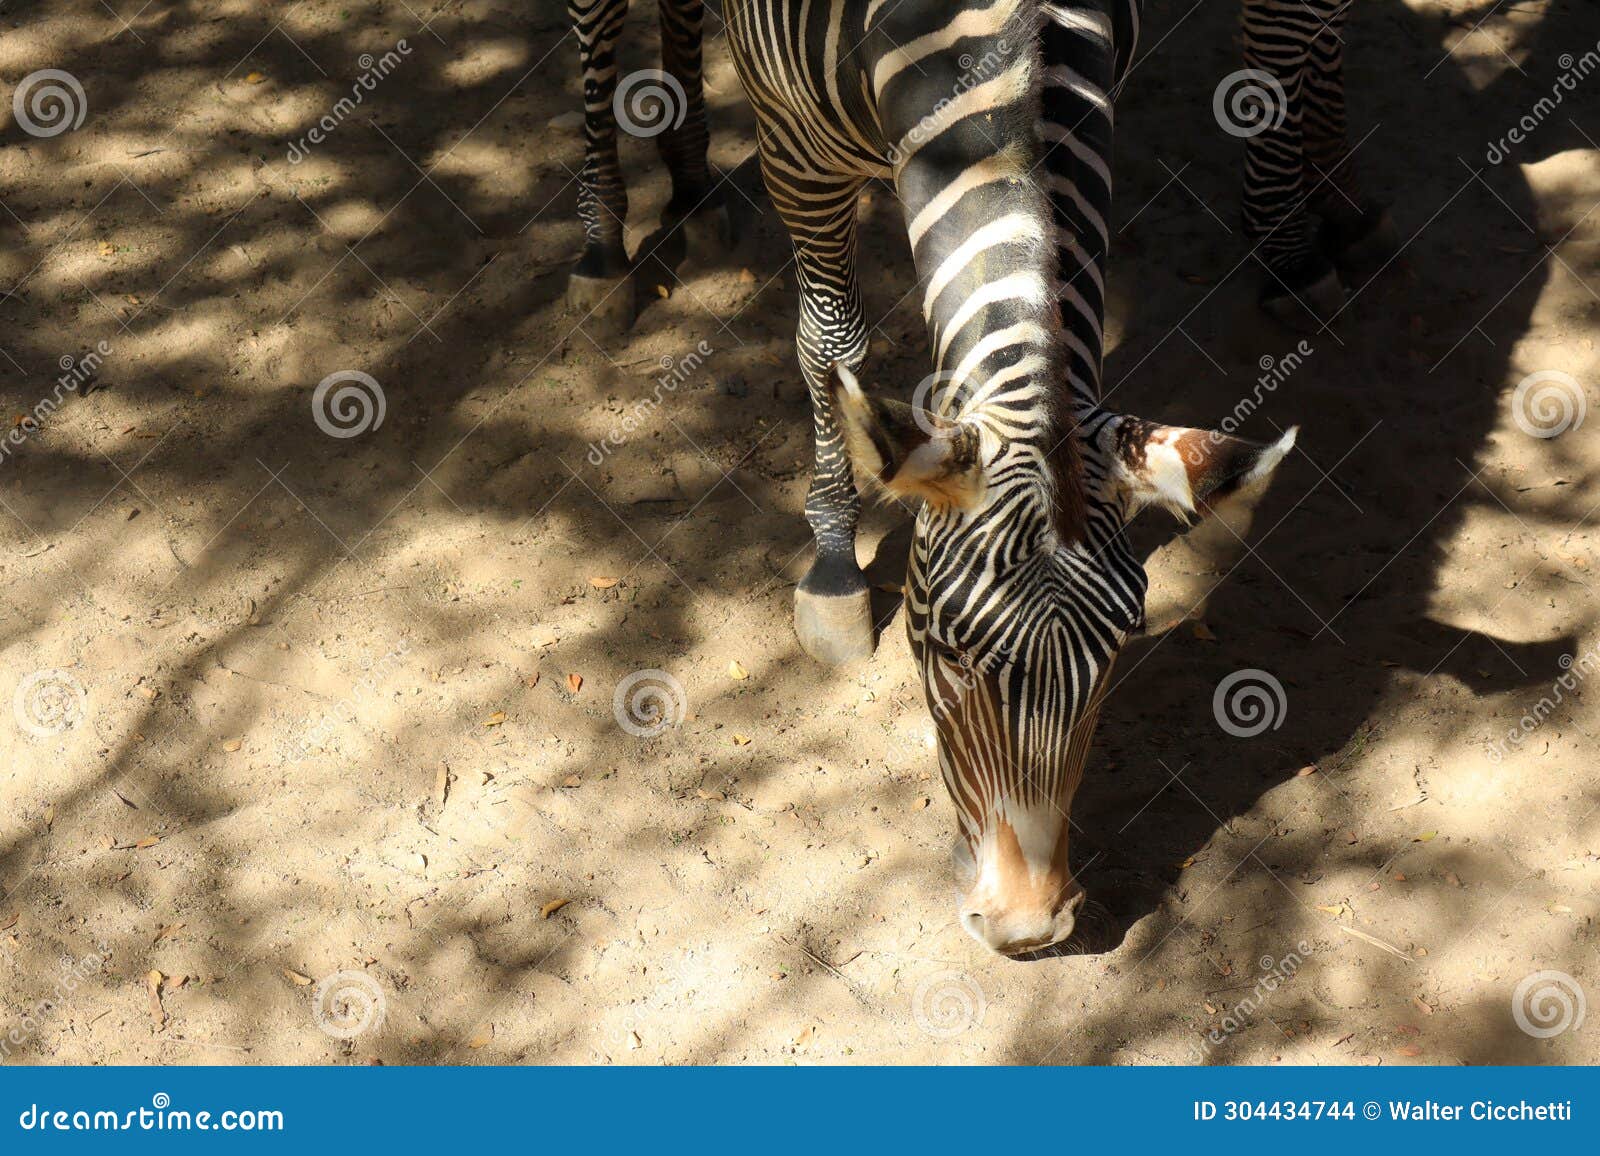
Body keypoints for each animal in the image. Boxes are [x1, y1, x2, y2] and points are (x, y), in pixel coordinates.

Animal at [563, 0, 1307, 955]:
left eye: (1114, 657)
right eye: (944, 653)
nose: (1029, 929)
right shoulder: (796, 151)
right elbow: (830, 345)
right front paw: (834, 564)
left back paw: (692, 188)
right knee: (597, 32)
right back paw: (602, 251)